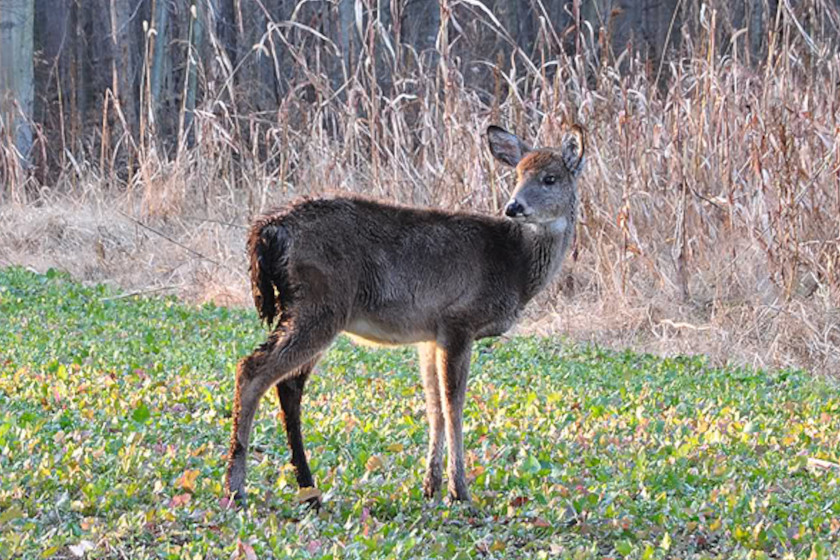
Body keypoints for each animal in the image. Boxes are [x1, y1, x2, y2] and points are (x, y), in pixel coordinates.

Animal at [225, 124, 586, 506]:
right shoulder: (459, 320)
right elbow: (454, 404)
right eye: (517, 175)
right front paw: (460, 491)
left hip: (309, 307)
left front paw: (431, 486)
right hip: (321, 304)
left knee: (289, 384)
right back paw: (237, 486)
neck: (516, 264)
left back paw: (307, 488)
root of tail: (268, 228)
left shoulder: (431, 333)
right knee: (252, 370)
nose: (513, 206)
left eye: (549, 178)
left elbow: (434, 405)